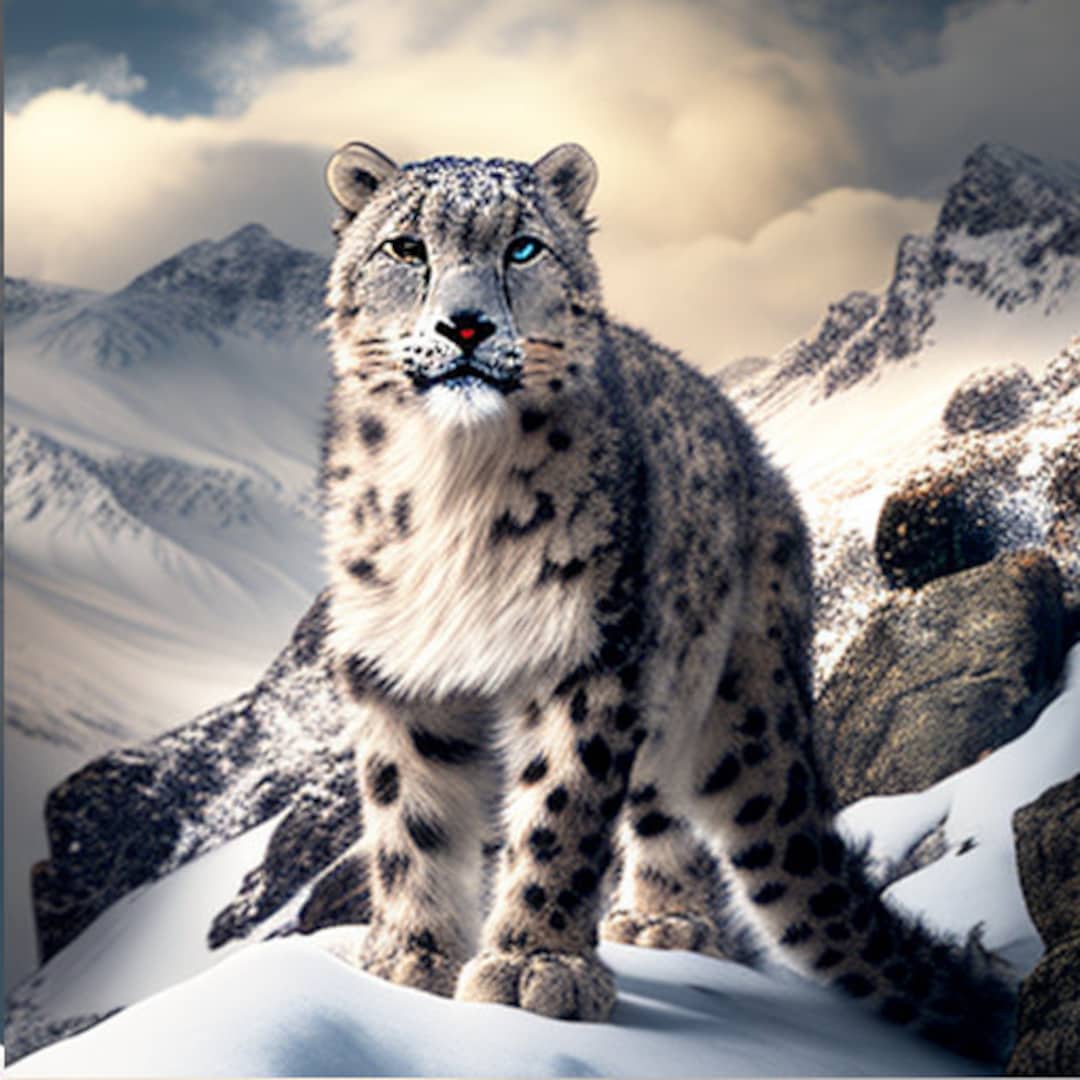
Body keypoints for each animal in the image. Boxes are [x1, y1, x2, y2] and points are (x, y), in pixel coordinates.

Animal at [318, 139, 1016, 1062]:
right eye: (405, 247)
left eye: (523, 248)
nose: (465, 326)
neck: (454, 482)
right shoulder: (400, 661)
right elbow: (411, 820)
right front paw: (409, 960)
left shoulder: (589, 653)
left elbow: (560, 812)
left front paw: (533, 970)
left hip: (721, 697)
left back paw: (667, 925)